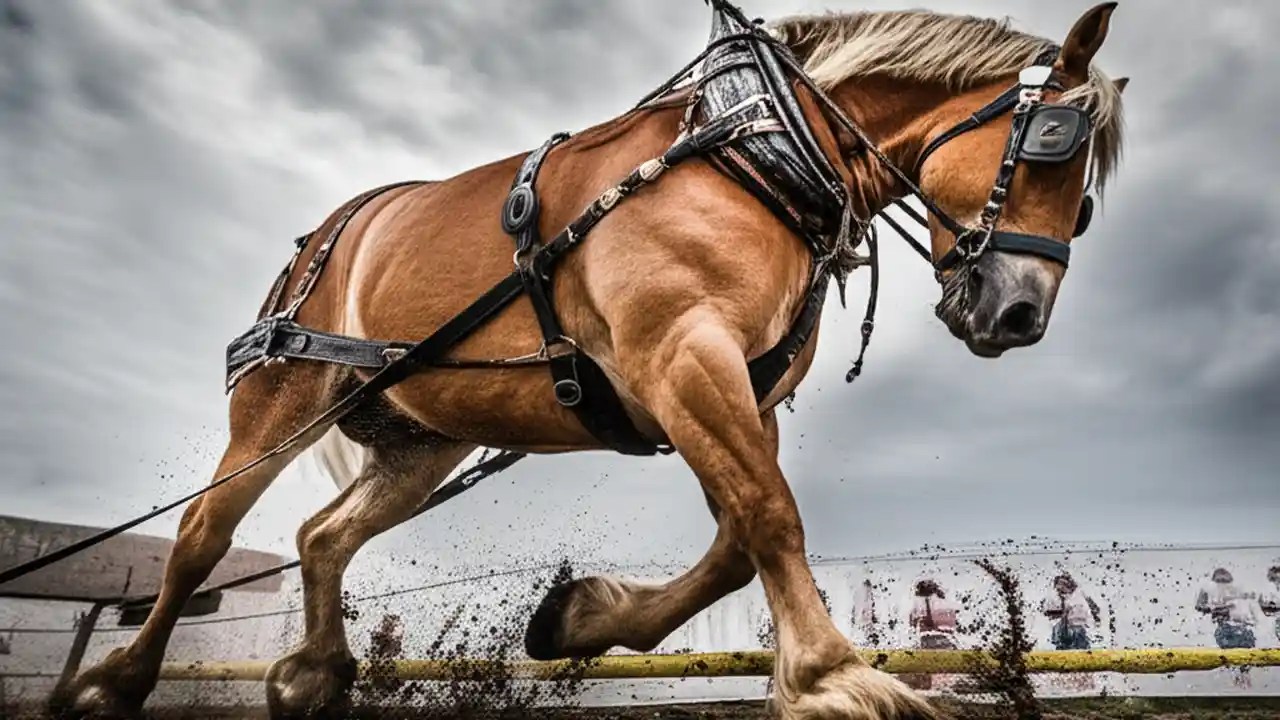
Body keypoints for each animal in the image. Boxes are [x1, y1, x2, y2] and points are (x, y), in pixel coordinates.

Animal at [55, 2, 1127, 719]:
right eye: (1049, 146)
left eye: (1083, 201)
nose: (1021, 313)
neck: (759, 154)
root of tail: (328, 230)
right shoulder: (682, 357)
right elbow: (770, 515)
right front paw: (838, 677)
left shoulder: (736, 387)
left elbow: (736, 540)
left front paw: (578, 618)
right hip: (282, 397)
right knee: (202, 535)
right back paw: (115, 682)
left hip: (423, 436)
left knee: (324, 535)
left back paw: (315, 673)